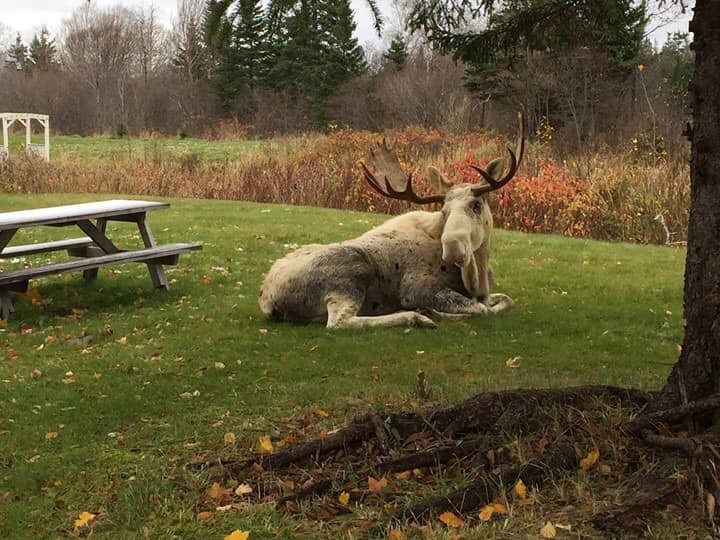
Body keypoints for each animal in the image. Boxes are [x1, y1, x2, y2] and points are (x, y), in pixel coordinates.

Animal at [259, 114, 525, 329]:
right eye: (444, 211)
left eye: (476, 205)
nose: (453, 249)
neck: (478, 274)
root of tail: (266, 297)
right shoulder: (416, 289)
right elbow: (482, 309)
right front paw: (432, 311)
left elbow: (506, 300)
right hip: (350, 274)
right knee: (339, 322)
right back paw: (417, 317)